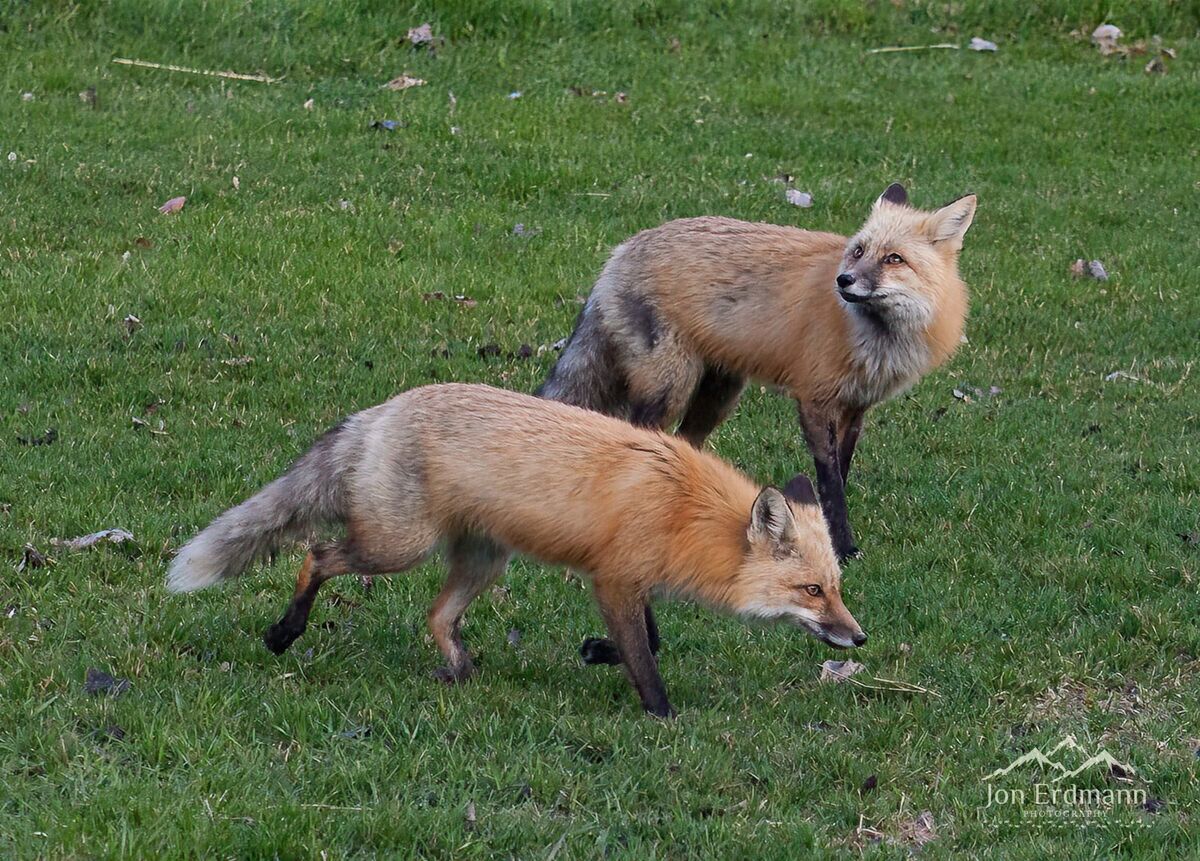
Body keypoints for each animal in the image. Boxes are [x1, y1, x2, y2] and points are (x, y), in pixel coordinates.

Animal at [166, 383, 865, 718]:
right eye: (812, 591)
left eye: (836, 588)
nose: (858, 638)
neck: (682, 510)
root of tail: (379, 411)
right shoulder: (613, 579)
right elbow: (646, 659)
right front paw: (662, 716)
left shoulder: (631, 581)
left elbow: (649, 640)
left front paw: (596, 652)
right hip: (398, 547)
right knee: (315, 553)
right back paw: (285, 631)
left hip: (483, 560)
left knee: (435, 616)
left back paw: (457, 670)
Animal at [538, 183, 976, 569]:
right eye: (858, 251)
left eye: (894, 259)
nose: (844, 280)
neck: (877, 337)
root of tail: (620, 251)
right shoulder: (814, 399)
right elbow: (831, 484)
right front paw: (842, 547)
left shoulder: (856, 407)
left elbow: (842, 472)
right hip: (670, 388)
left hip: (719, 395)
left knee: (685, 443)